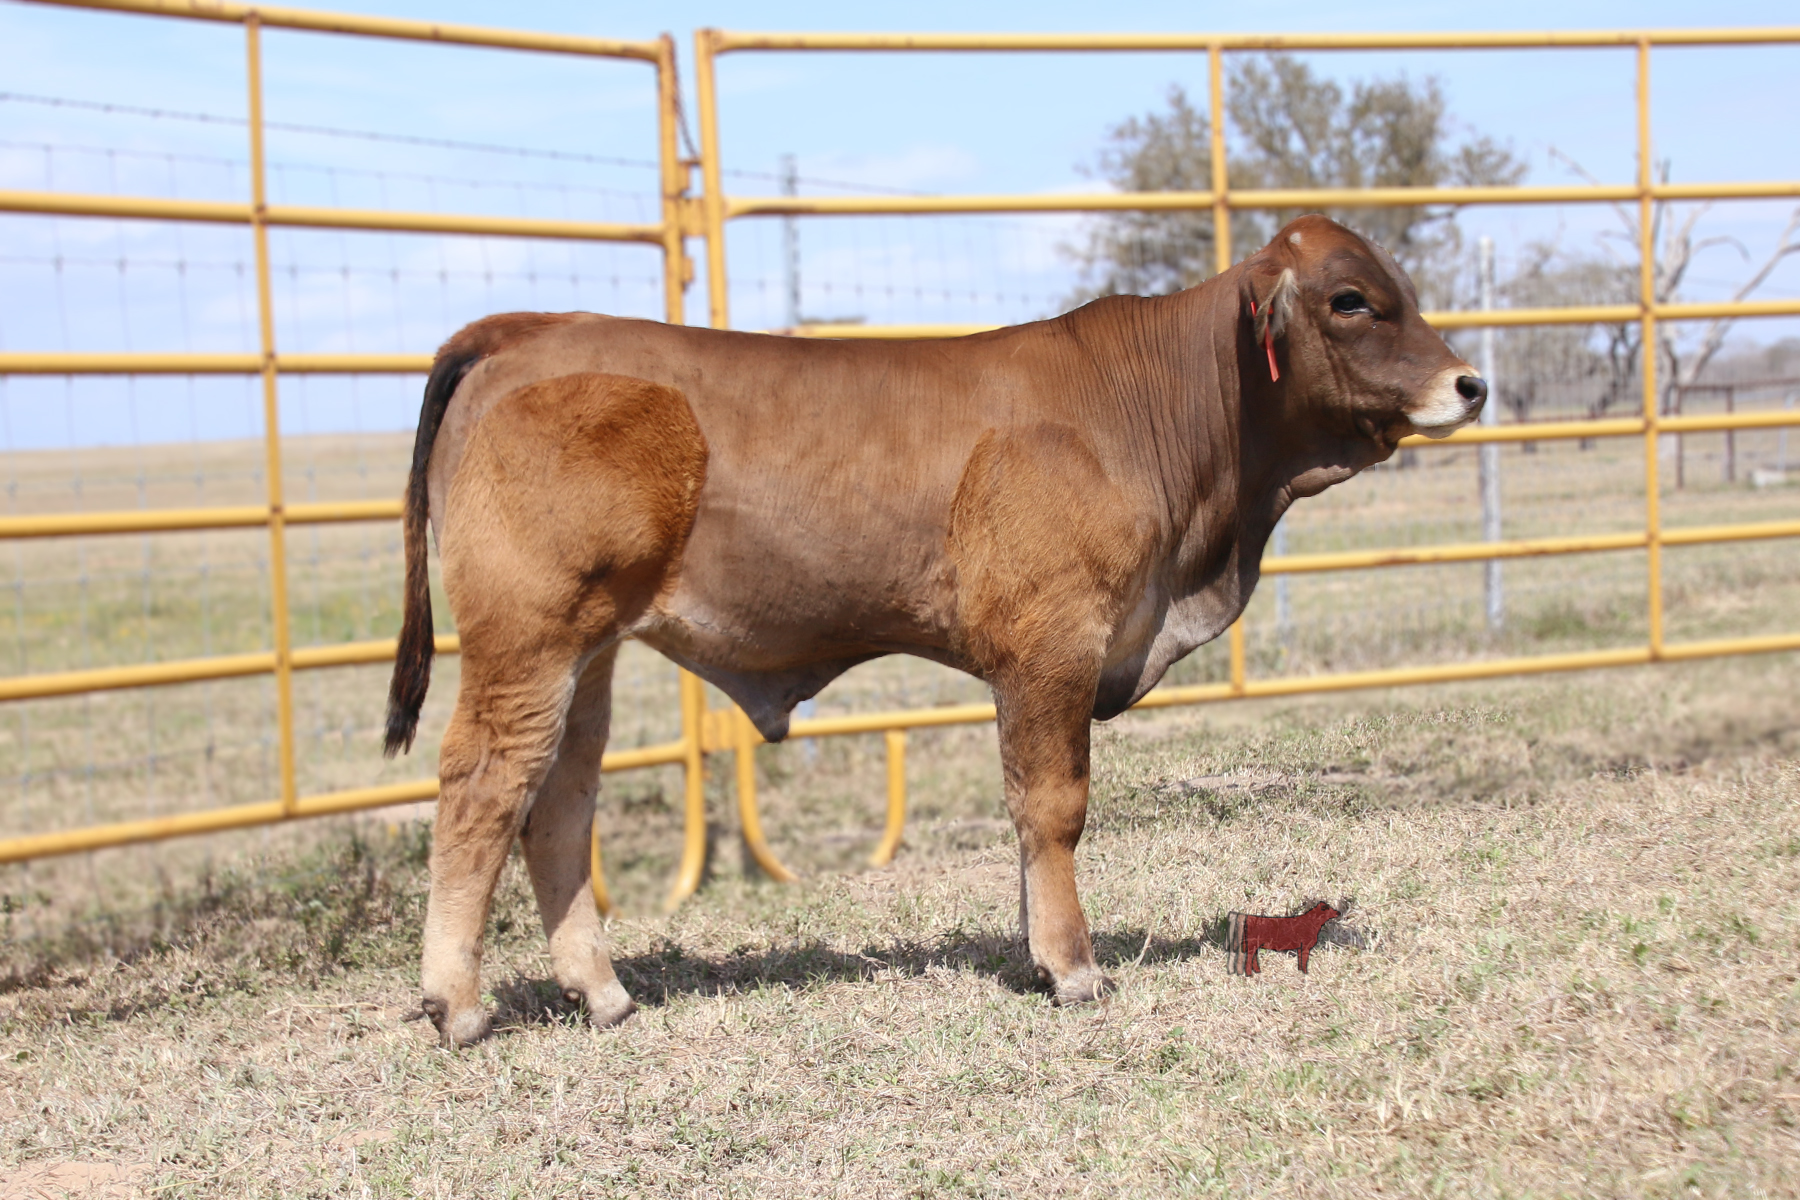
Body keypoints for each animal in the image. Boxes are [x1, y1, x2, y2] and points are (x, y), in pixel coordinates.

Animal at [383, 214, 1485, 1046]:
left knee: (559, 803)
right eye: (1351, 300)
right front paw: (1075, 969)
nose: (1471, 383)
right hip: (528, 639)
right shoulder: (1053, 648)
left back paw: (603, 993)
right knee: (484, 786)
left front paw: (1039, 951)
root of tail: (523, 329)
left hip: (592, 649)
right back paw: (458, 1005)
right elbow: (1053, 808)